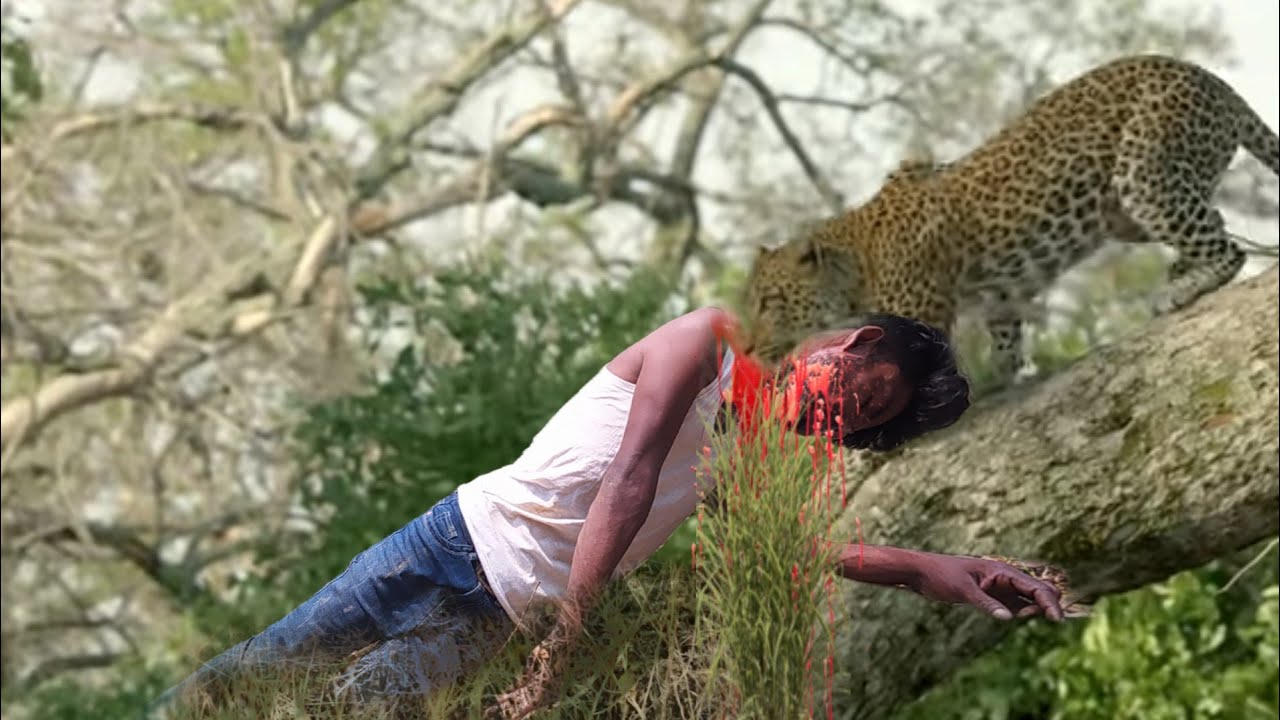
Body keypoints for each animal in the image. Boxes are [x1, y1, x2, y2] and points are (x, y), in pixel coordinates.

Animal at [742, 54, 1279, 386]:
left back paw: (1181, 289)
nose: (748, 351)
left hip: (1142, 174)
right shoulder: (1000, 295)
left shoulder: (923, 314)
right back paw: (1178, 273)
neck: (858, 263)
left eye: (770, 302)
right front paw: (1004, 378)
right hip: (1130, 211)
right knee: (1214, 219)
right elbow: (1005, 340)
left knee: (1228, 249)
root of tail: (1214, 81)